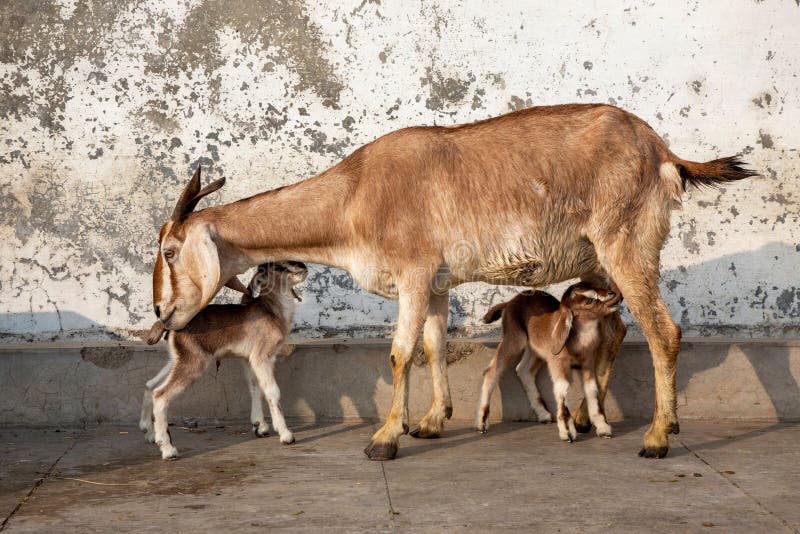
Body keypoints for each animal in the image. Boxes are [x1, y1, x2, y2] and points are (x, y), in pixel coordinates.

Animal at [140, 260, 307, 459]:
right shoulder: (262, 356)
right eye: (279, 266)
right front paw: (286, 435)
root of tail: (168, 324)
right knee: (160, 394)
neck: (273, 311)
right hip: (194, 362)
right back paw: (168, 449)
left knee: (150, 385)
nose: (304, 267)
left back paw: (149, 432)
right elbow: (272, 391)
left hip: (177, 360)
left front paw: (260, 427)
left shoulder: (248, 360)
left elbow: (255, 388)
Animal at [476, 283, 622, 442]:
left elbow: (592, 389)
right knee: (491, 371)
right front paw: (567, 432)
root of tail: (510, 302)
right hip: (514, 339)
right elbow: (563, 388)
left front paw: (603, 428)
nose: (612, 293)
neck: (579, 340)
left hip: (536, 350)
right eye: (589, 300)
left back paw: (544, 415)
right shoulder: (558, 363)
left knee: (523, 369)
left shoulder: (587, 362)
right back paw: (482, 424)